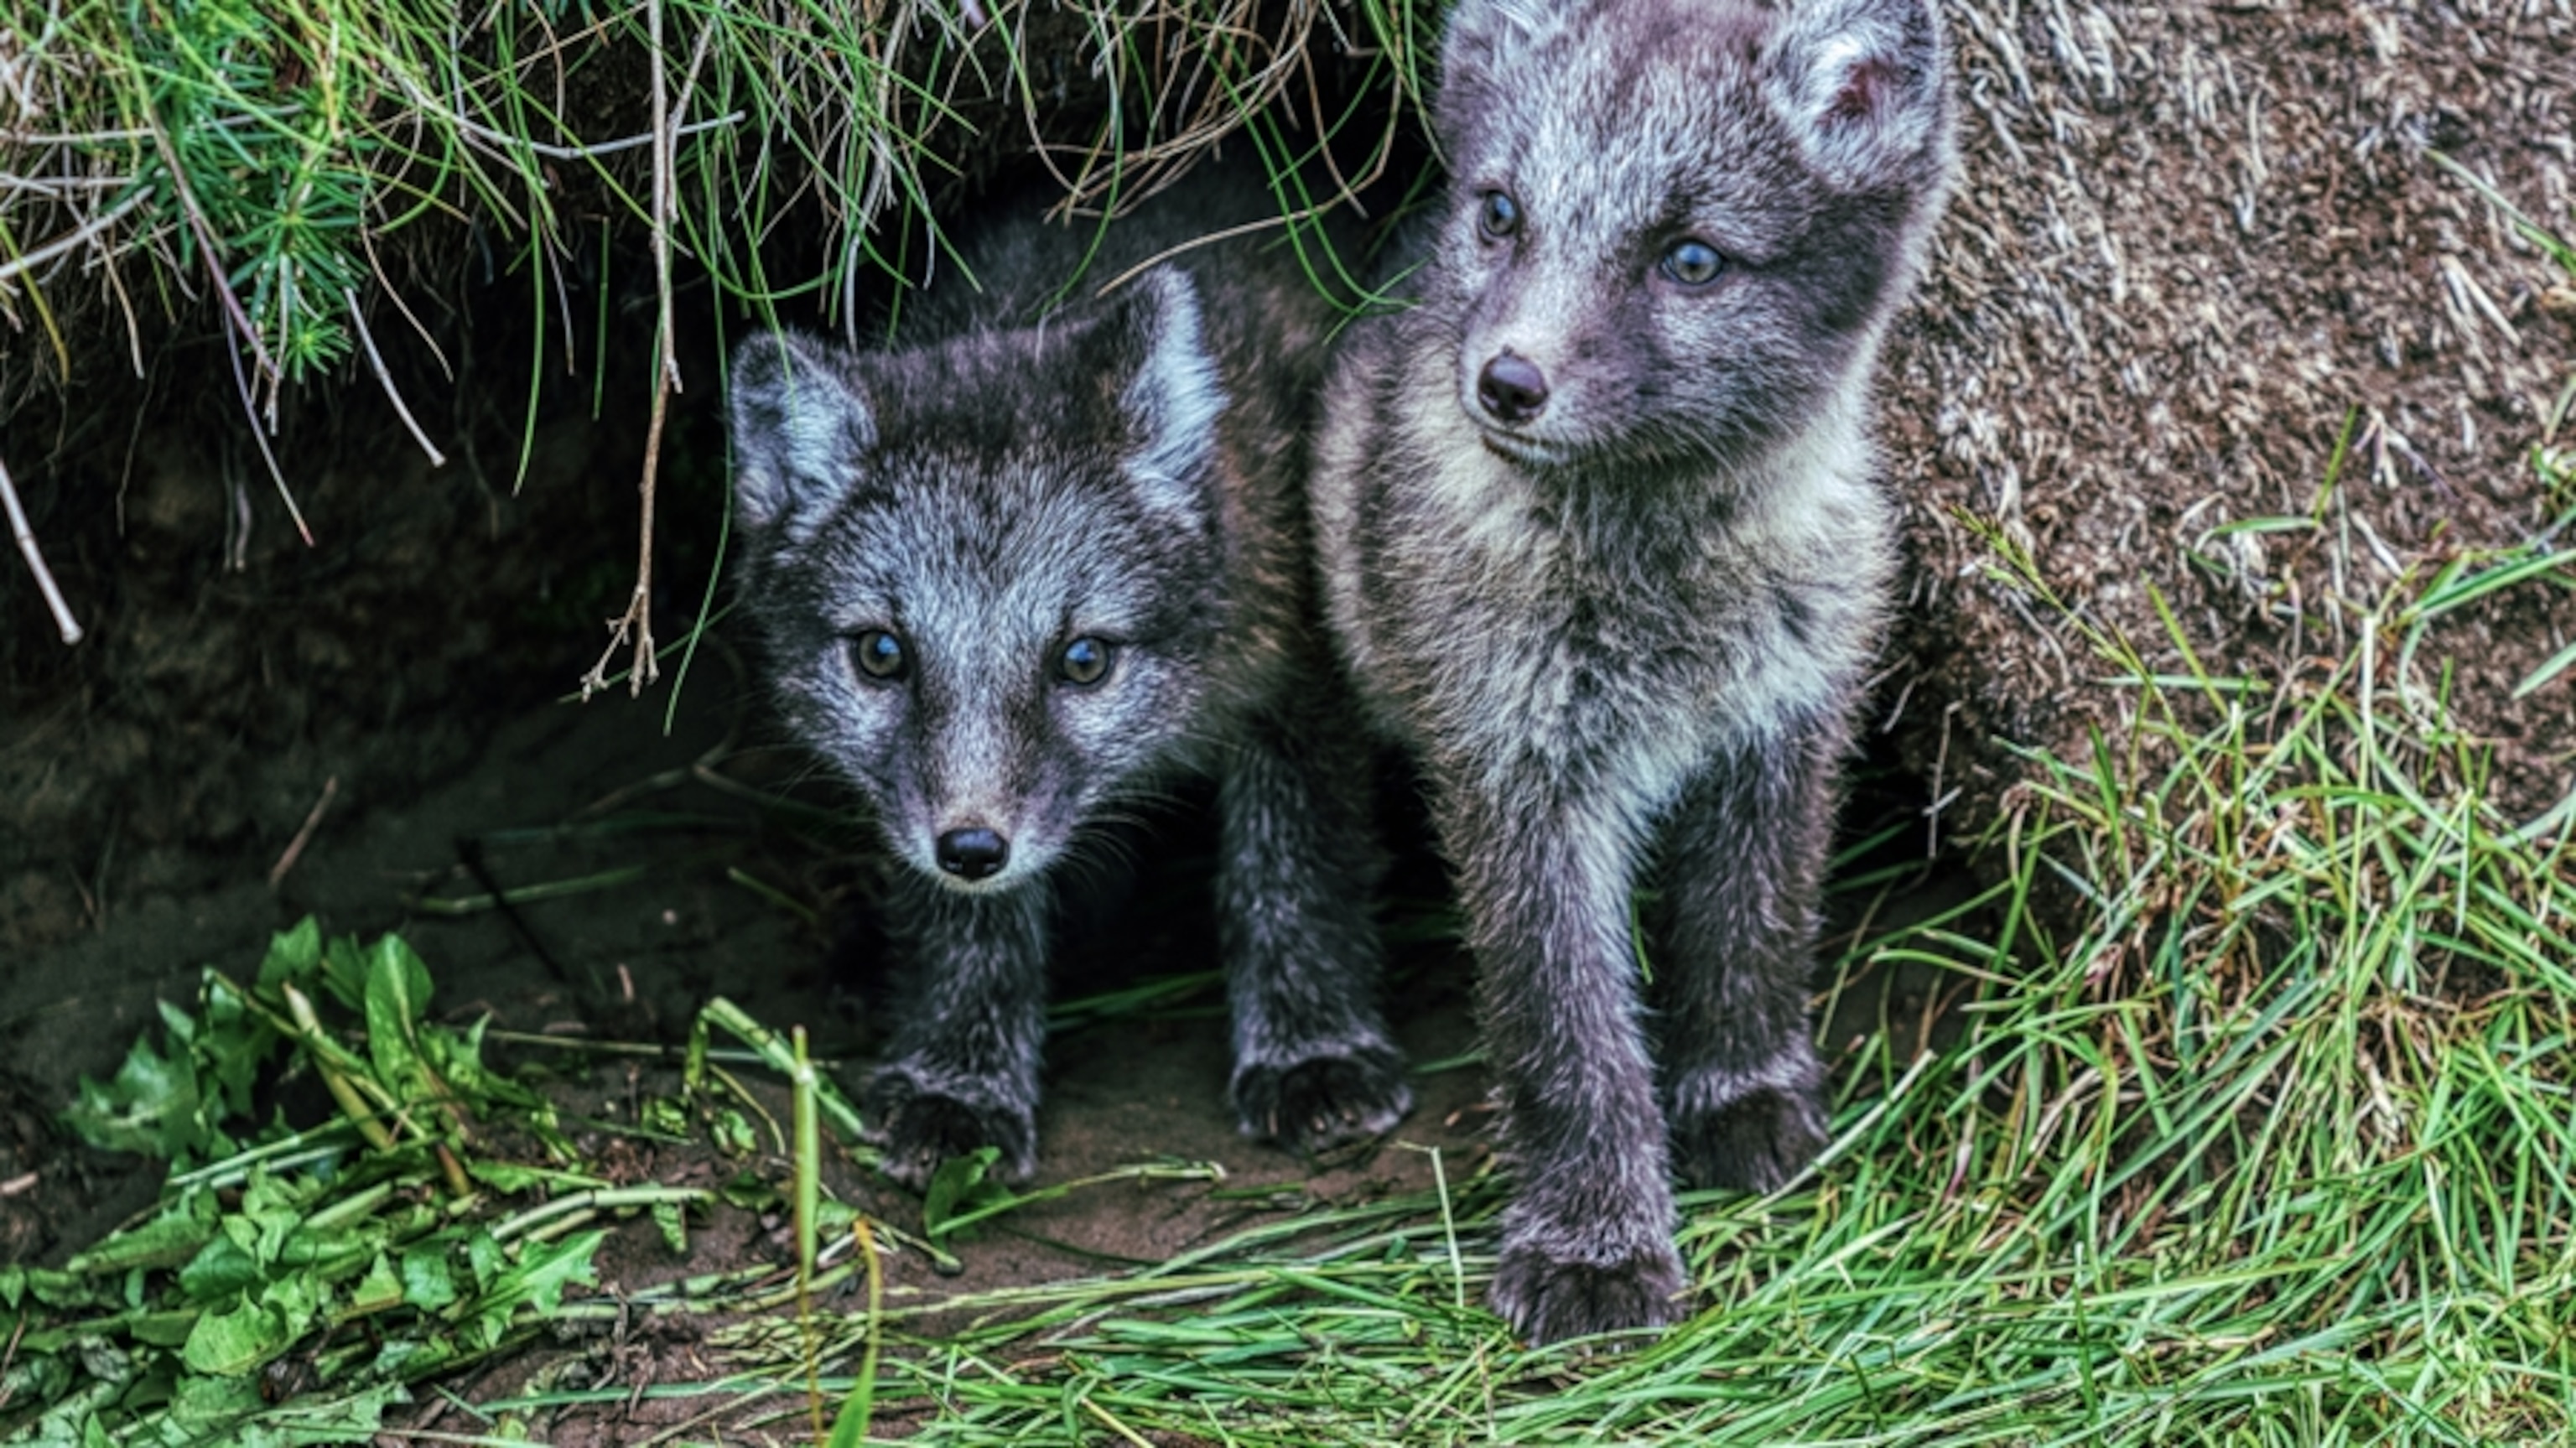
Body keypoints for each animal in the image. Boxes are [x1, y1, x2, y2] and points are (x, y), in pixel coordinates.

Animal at [726, 167, 1414, 1189]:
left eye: (1083, 659)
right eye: (882, 654)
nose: (972, 849)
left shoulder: (1303, 680)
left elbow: (1293, 866)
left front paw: (1311, 1048)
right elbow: (968, 929)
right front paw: (960, 1083)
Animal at [1308, 0, 1957, 1343]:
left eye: (1692, 259)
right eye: (1502, 213)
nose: (1506, 382)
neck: (1657, 593)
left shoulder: (1787, 721)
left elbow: (1752, 932)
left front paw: (1746, 1103)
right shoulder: (1511, 766)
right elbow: (1567, 1034)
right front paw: (1594, 1247)